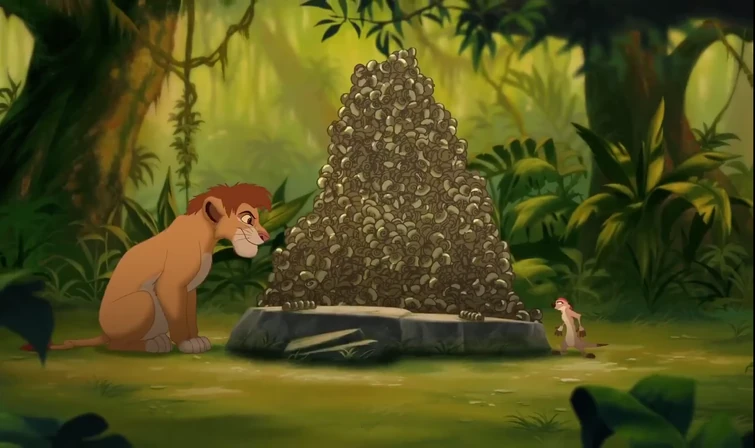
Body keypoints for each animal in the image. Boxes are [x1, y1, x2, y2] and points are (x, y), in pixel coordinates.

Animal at [25, 183, 272, 354]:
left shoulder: (189, 289)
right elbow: (178, 317)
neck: (206, 237)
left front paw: (197, 339)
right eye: (248, 219)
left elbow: (189, 316)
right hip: (142, 302)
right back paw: (153, 345)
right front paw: (186, 343)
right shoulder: (171, 284)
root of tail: (103, 332)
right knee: (116, 344)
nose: (266, 236)